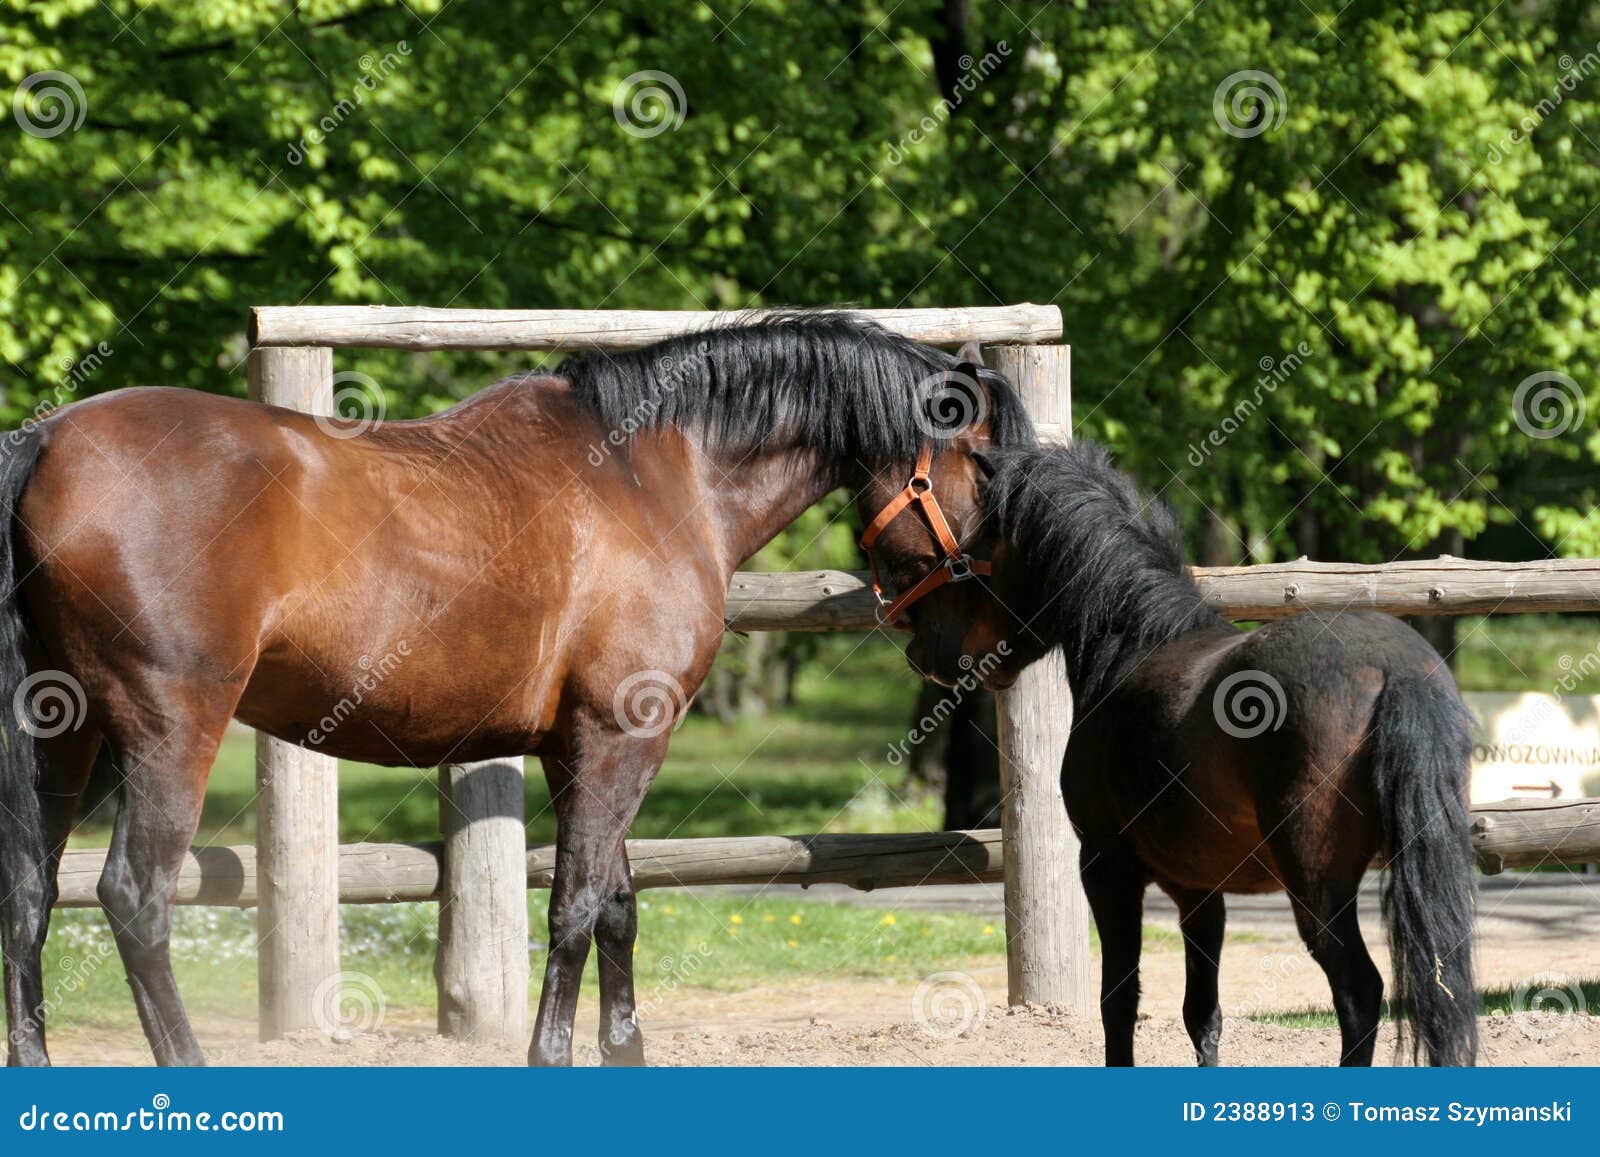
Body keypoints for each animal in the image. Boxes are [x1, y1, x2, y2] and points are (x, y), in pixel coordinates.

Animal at [0, 311, 1035, 1067]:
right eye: (987, 466)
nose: (979, 646)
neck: (656, 473)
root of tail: (44, 440)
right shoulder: (622, 733)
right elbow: (573, 905)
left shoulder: (583, 745)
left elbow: (616, 900)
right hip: (171, 729)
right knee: (135, 898)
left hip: (65, 732)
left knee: (29, 892)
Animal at [966, 439, 1478, 1067]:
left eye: (976, 549)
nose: (942, 655)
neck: (1135, 646)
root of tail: (1393, 669)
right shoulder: (1199, 888)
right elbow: (1201, 1014)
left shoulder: (1107, 867)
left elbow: (1119, 1003)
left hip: (1319, 892)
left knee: (1359, 992)